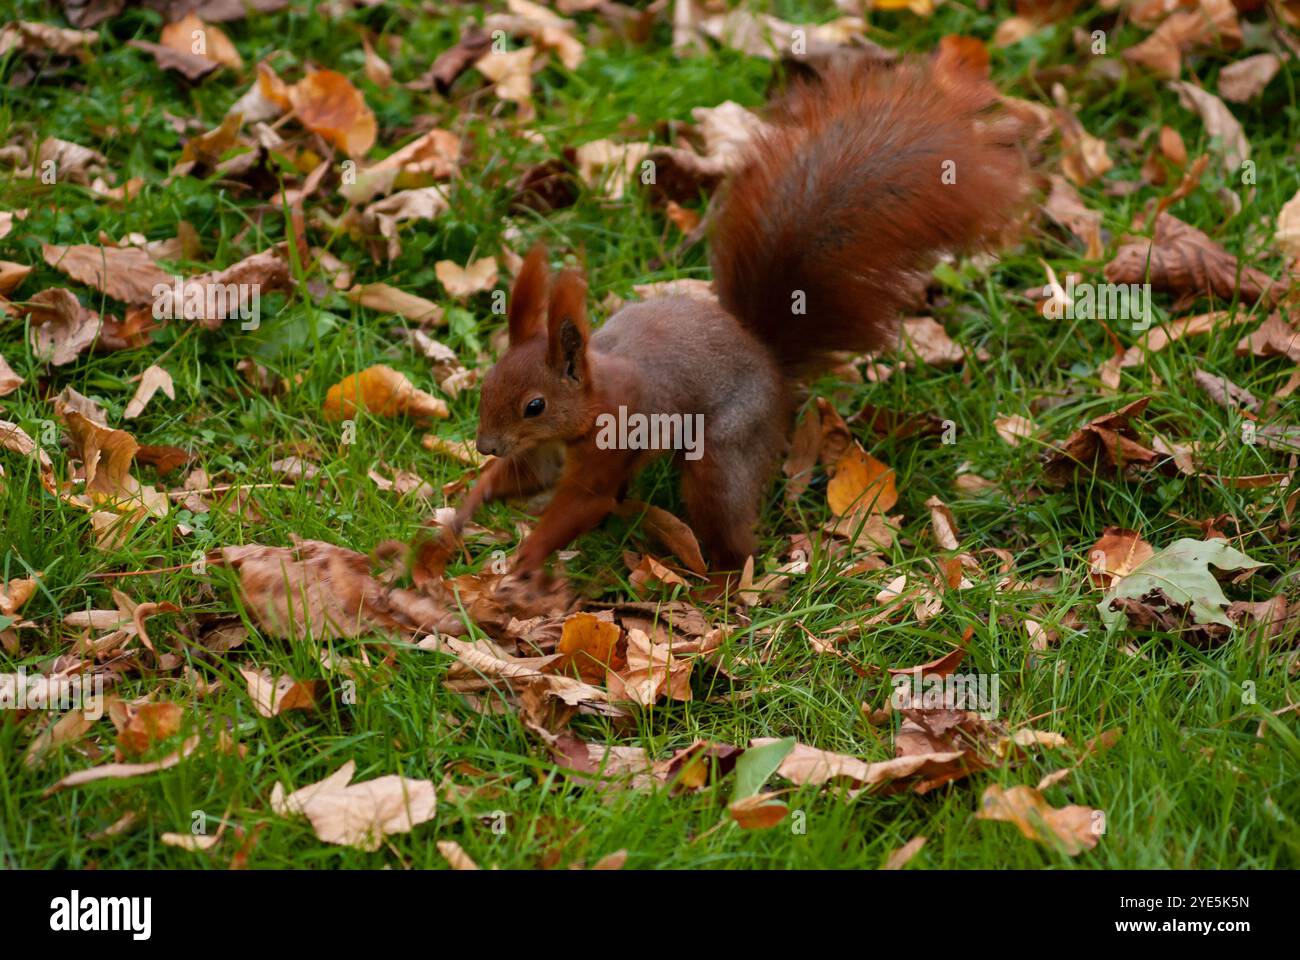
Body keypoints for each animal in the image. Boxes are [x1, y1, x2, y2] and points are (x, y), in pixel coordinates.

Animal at [444, 59, 1028, 578]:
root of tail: (768, 360)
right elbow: (520, 480)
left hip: (725, 451)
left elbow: (585, 503)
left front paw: (527, 557)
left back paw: (719, 583)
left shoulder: (613, 436)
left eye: (535, 405)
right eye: (487, 386)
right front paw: (465, 511)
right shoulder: (545, 452)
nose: (485, 445)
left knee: (732, 525)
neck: (587, 402)